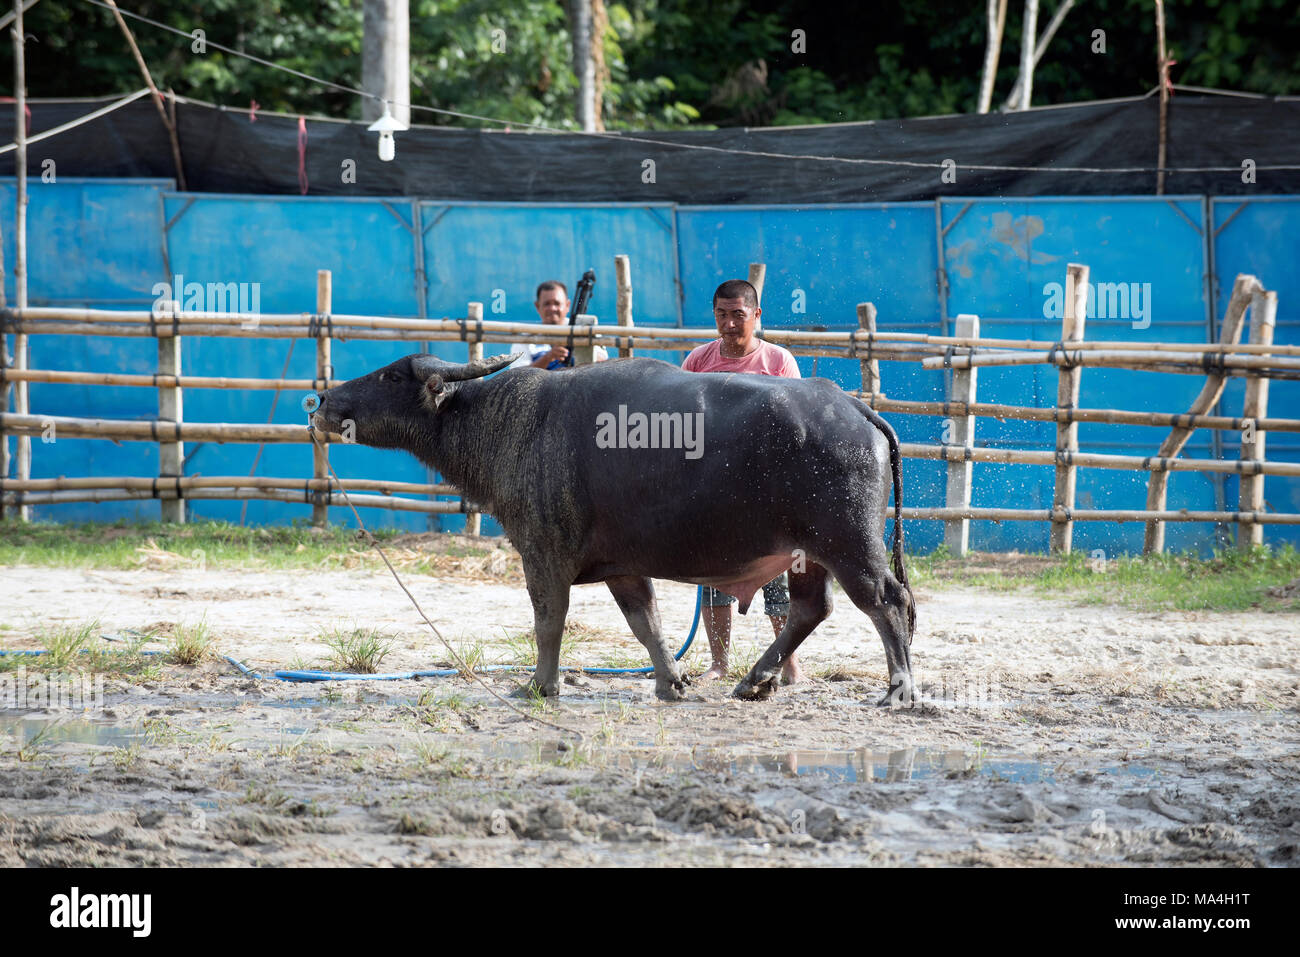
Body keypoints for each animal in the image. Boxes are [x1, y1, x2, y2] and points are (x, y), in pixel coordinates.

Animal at [311, 353, 915, 704]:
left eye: (390, 375)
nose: (322, 402)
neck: (514, 424)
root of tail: (854, 409)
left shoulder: (543, 554)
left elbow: (548, 622)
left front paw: (541, 684)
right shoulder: (625, 569)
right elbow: (646, 624)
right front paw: (671, 682)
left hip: (849, 544)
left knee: (887, 601)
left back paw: (898, 690)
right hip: (807, 554)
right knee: (812, 609)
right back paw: (754, 680)